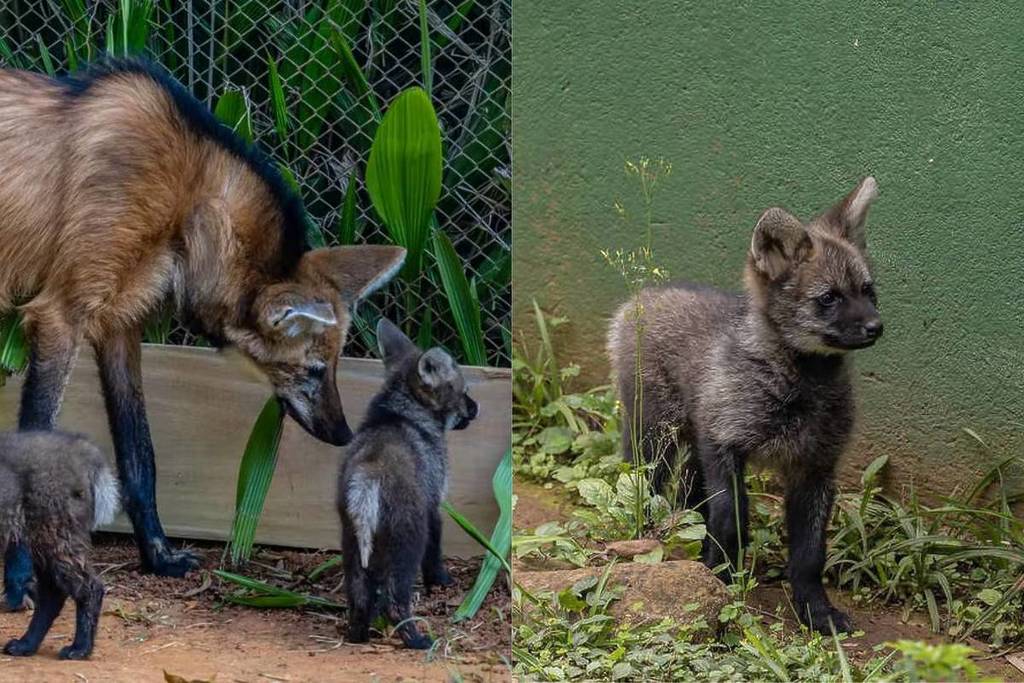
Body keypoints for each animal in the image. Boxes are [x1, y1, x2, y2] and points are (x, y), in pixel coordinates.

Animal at [0, 58, 405, 607]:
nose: (343, 433)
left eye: (335, 368)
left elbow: (140, 454)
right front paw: (20, 581)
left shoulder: (119, 325)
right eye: (315, 370)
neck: (184, 199)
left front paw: (159, 557)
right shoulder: (60, 316)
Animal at [0, 431, 119, 659]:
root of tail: (81, 447)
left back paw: (80, 648)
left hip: (54, 537)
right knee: (52, 593)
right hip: (43, 542)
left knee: (88, 587)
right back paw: (27, 645)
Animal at [337, 318, 478, 649]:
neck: (400, 414)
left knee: (359, 598)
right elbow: (436, 550)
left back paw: (358, 636)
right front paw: (442, 581)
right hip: (408, 539)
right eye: (464, 391)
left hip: (352, 541)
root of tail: (367, 476)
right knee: (395, 600)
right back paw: (418, 640)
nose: (476, 409)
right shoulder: (434, 504)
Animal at [608, 178, 883, 633]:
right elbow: (731, 522)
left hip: (691, 447)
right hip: (657, 439)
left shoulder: (814, 468)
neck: (799, 390)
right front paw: (718, 584)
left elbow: (809, 556)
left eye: (868, 292)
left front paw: (815, 611)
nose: (876, 326)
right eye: (829, 298)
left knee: (689, 497)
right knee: (644, 486)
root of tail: (641, 297)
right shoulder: (725, 445)